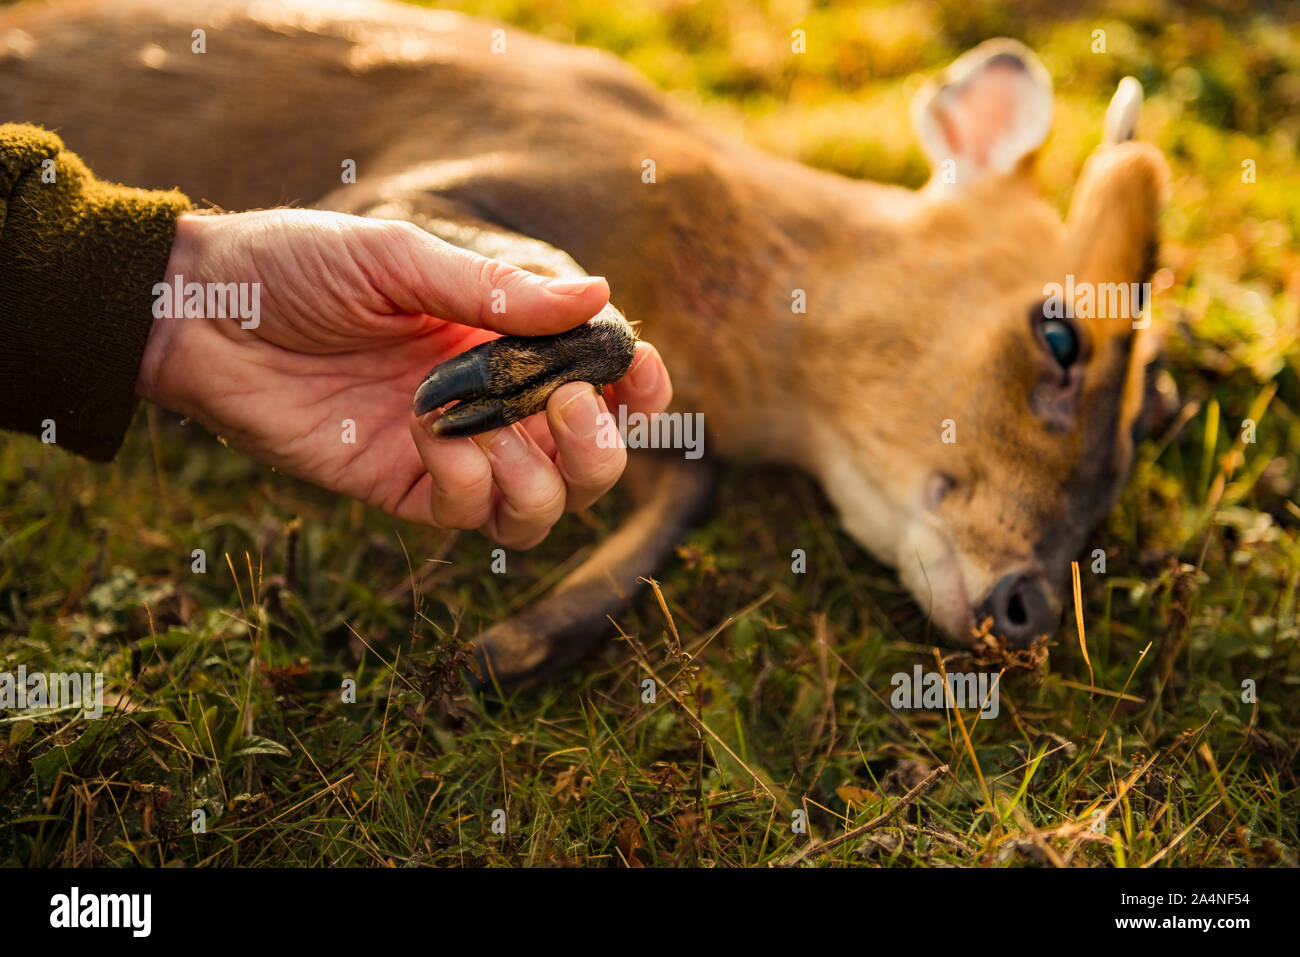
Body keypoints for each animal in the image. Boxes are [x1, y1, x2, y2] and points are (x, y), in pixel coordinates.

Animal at [0, 0, 1168, 685]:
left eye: (1153, 414)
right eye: (1061, 334)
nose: (1026, 607)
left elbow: (687, 483)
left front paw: (505, 648)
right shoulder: (423, 174)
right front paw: (505, 374)